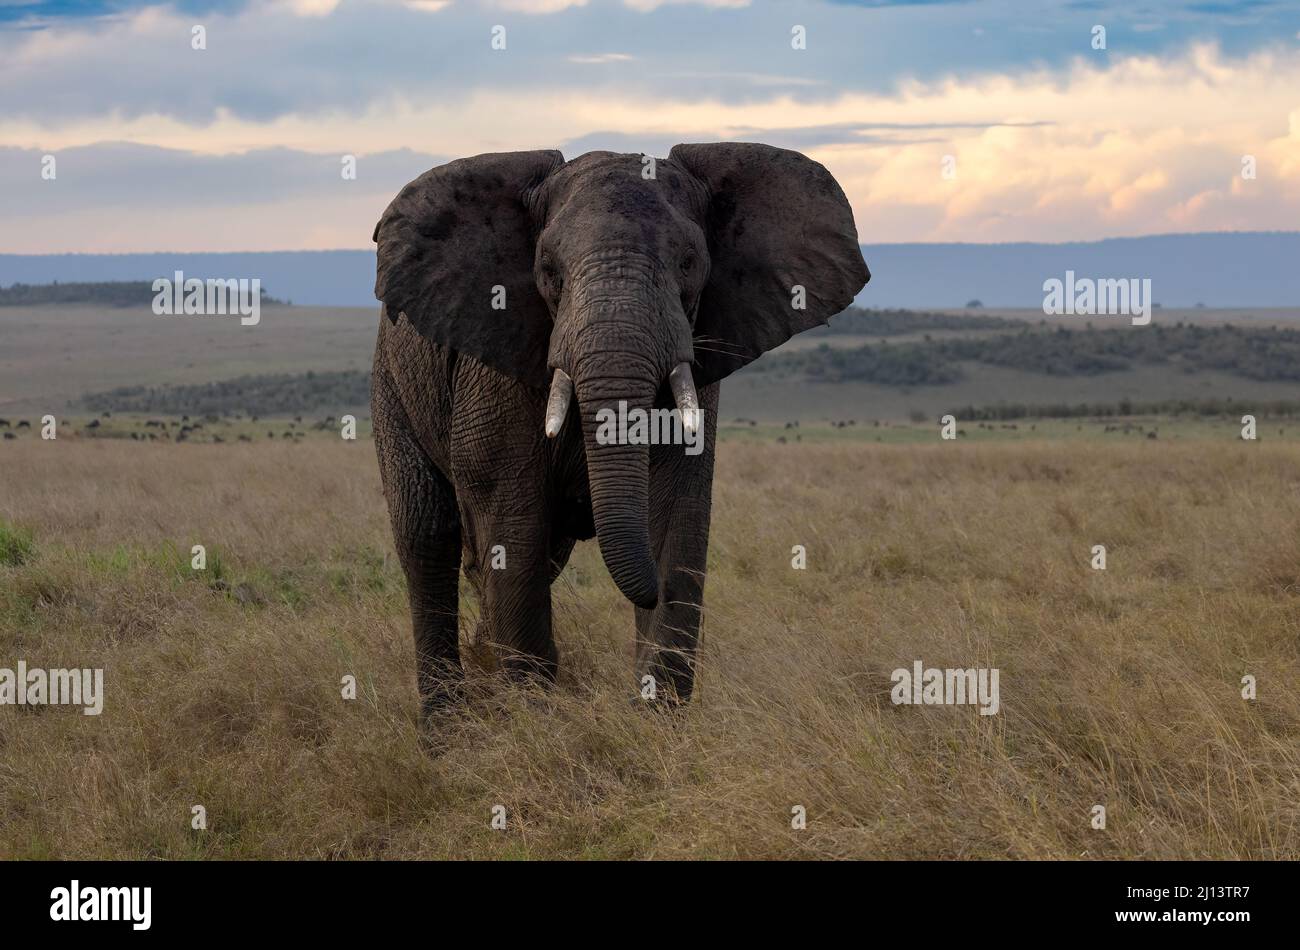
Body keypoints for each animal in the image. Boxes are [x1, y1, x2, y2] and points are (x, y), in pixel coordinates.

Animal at [370, 142, 870, 724]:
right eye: (548, 269)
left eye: (689, 263)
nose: (647, 593)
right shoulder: (495, 360)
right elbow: (510, 521)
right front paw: (535, 724)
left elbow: (677, 510)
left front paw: (658, 724)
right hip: (392, 384)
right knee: (428, 540)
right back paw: (447, 731)